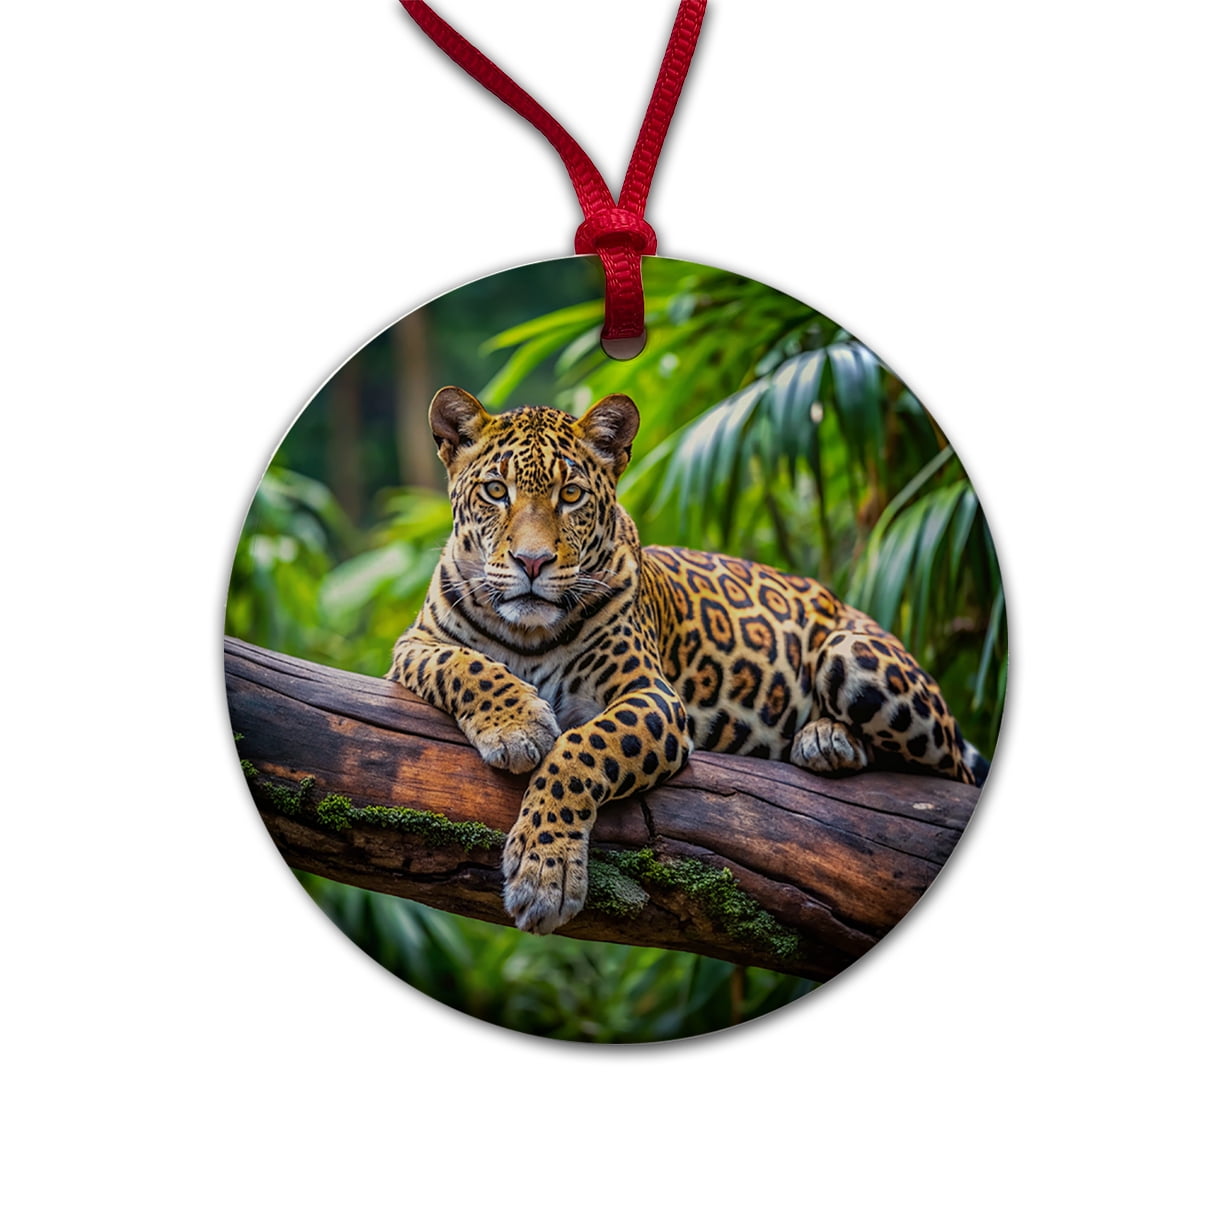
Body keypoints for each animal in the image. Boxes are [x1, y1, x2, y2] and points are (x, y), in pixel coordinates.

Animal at [389, 386, 987, 936]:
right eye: (495, 491)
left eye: (572, 495)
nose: (531, 562)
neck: (528, 633)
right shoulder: (414, 647)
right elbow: (466, 666)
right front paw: (516, 725)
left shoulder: (653, 697)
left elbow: (580, 750)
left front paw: (545, 874)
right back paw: (825, 739)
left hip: (851, 652)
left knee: (947, 779)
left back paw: (829, 738)